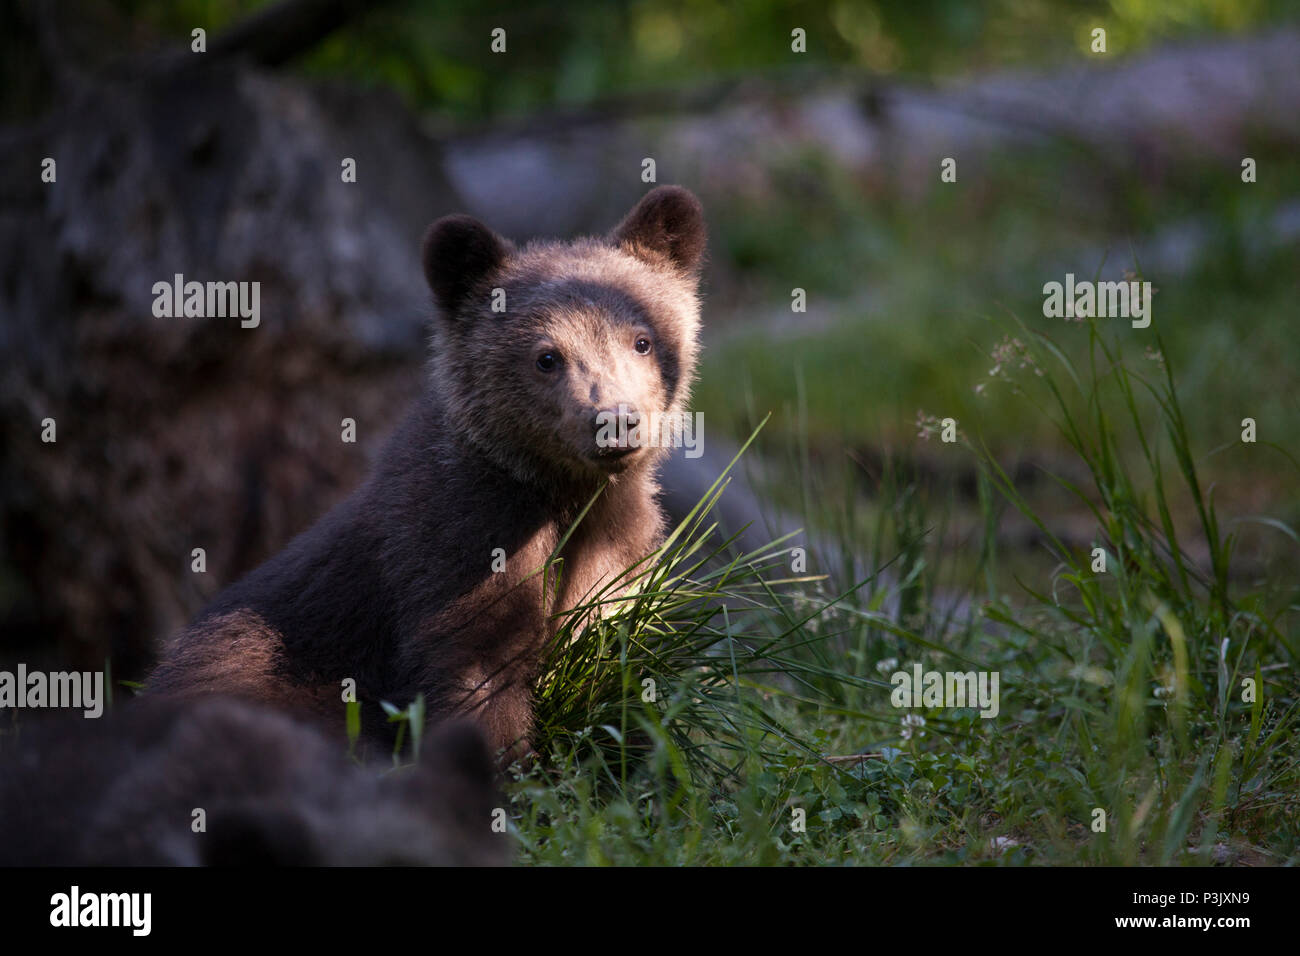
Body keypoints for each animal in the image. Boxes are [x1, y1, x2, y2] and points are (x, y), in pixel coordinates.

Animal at [147, 185, 707, 759]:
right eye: (547, 356)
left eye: (641, 340)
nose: (615, 421)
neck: (563, 493)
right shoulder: (458, 542)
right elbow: (477, 672)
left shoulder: (620, 547)